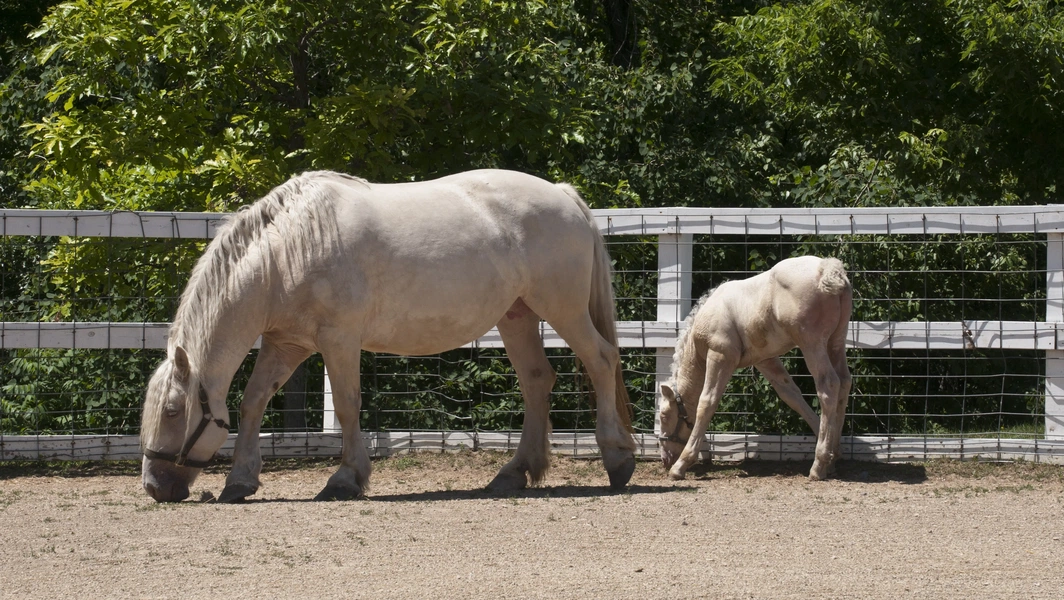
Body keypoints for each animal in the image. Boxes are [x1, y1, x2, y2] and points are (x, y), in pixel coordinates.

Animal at [140, 169, 637, 502]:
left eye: (173, 411)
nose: (154, 486)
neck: (287, 251)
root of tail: (565, 196)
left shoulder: (338, 340)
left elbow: (347, 404)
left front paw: (345, 479)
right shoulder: (287, 344)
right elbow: (252, 402)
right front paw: (240, 480)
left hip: (563, 309)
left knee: (602, 360)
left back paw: (618, 459)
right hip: (517, 317)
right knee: (537, 381)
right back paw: (514, 473)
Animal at [658, 256, 852, 481]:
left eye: (664, 416)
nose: (665, 459)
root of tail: (827, 268)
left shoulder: (720, 356)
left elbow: (706, 402)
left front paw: (681, 464)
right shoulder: (765, 360)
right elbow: (791, 395)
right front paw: (829, 450)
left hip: (811, 343)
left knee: (829, 385)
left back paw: (818, 465)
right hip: (836, 341)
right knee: (844, 382)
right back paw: (831, 453)